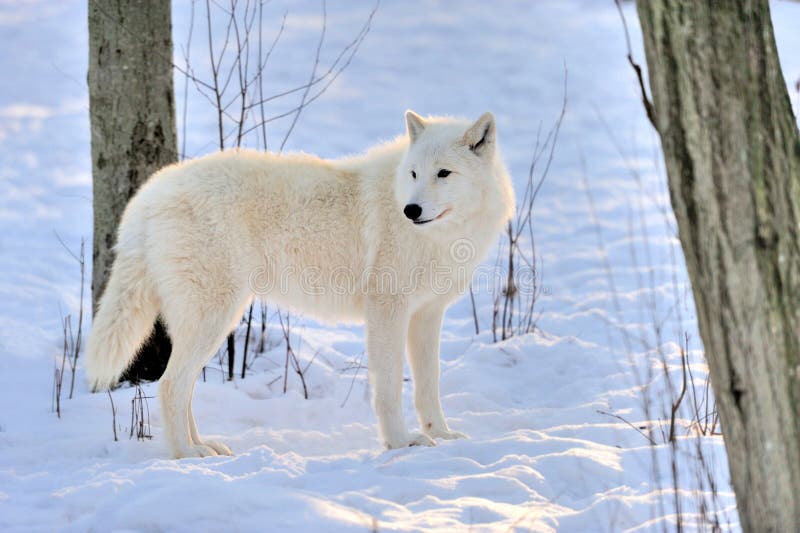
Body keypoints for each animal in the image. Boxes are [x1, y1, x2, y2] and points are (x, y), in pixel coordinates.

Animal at [85, 111, 515, 458]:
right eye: (413, 174)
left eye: (443, 173)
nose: (411, 209)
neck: (439, 236)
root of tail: (150, 194)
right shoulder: (387, 312)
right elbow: (391, 387)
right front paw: (400, 443)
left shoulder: (427, 315)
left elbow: (429, 385)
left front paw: (441, 434)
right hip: (217, 317)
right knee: (170, 385)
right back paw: (187, 456)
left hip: (205, 322)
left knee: (182, 388)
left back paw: (202, 445)